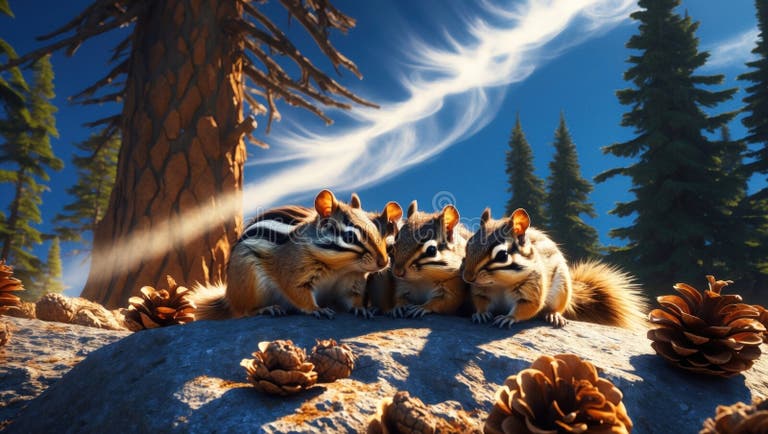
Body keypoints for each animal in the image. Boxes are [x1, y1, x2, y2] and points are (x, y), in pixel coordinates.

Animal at [194, 189, 402, 320]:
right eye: (350, 236)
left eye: (381, 232)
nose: (383, 262)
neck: (341, 268)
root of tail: (228, 296)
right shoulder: (294, 273)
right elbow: (298, 293)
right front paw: (317, 310)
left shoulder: (352, 281)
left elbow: (353, 298)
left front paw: (362, 309)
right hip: (248, 280)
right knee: (244, 309)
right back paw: (267, 308)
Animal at [461, 207, 647, 329]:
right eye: (468, 245)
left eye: (502, 255)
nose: (468, 277)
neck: (500, 283)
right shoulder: (480, 291)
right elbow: (480, 301)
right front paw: (480, 314)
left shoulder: (533, 291)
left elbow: (528, 308)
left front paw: (508, 317)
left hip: (561, 290)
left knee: (557, 308)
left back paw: (554, 316)